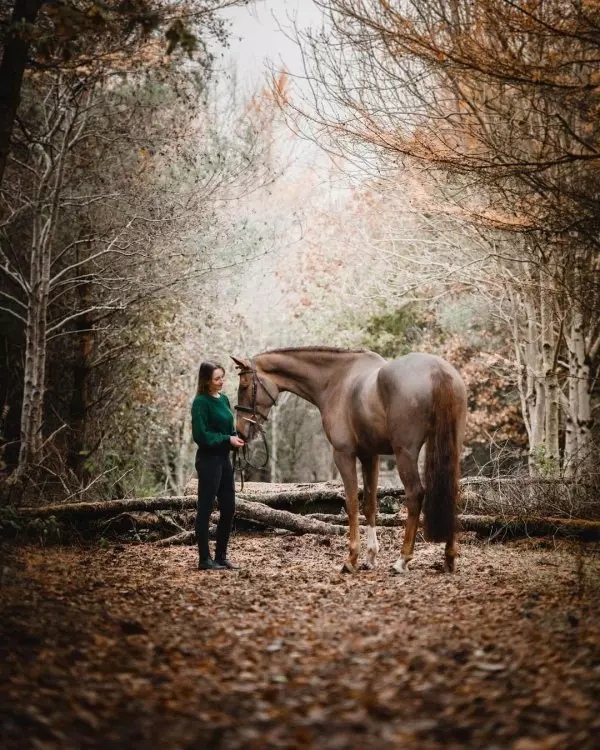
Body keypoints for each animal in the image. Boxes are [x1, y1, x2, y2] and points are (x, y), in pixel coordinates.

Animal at [232, 348, 466, 576]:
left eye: (244, 385)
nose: (240, 431)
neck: (336, 380)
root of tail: (437, 370)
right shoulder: (370, 456)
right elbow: (370, 505)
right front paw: (370, 557)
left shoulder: (344, 454)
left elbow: (352, 503)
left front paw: (351, 559)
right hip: (450, 449)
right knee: (451, 493)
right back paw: (449, 557)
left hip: (405, 453)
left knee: (415, 494)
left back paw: (402, 560)